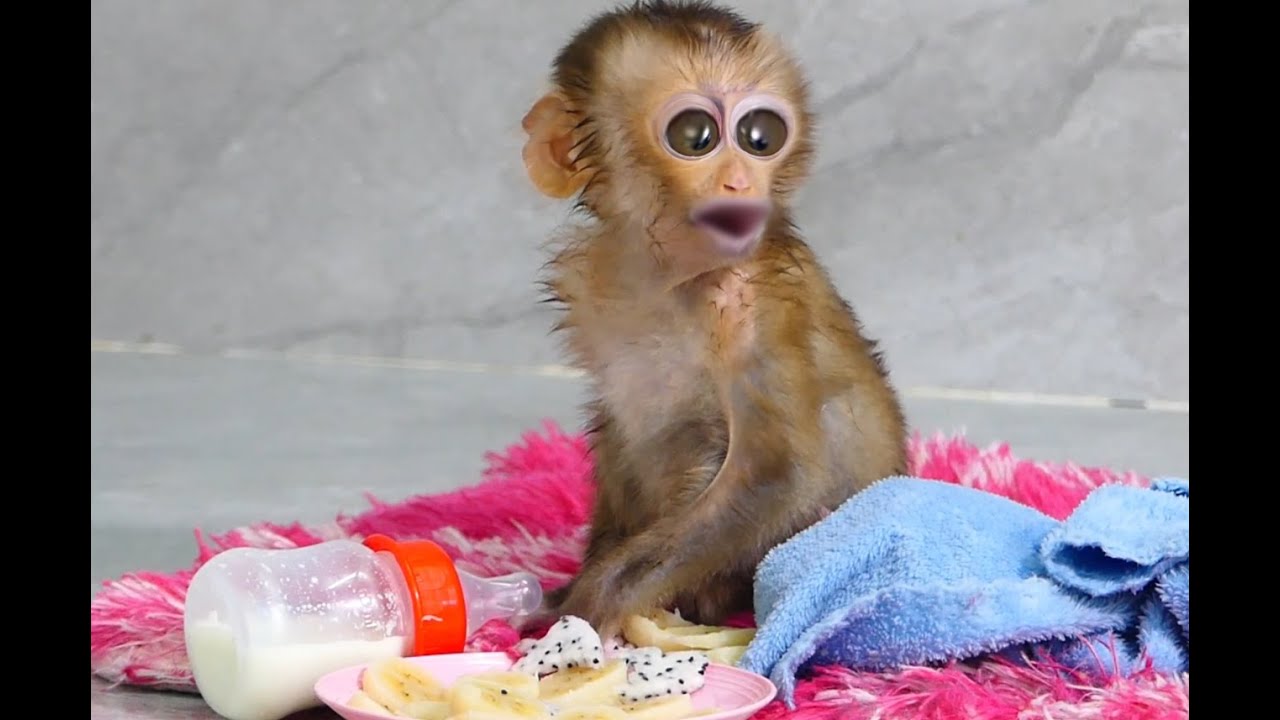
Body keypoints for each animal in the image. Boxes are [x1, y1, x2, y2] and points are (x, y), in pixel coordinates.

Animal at [519, 0, 908, 640]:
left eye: (760, 136)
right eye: (695, 137)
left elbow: (778, 477)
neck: (666, 276)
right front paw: (567, 590)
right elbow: (615, 430)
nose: (740, 181)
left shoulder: (754, 304)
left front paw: (589, 606)